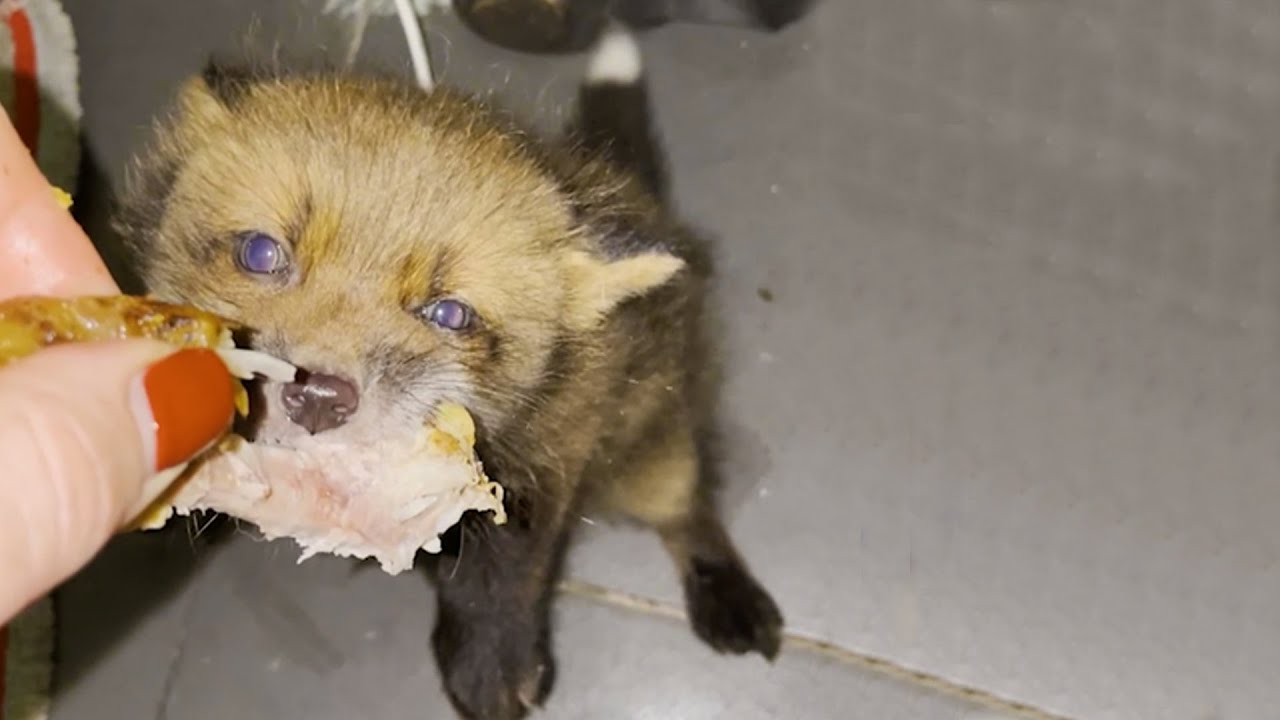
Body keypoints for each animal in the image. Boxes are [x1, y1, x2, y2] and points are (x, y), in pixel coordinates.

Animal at [116, 28, 783, 720]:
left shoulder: (543, 461)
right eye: (261, 253)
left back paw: (728, 595)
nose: (320, 395)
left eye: (449, 314)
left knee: (688, 510)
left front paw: (490, 669)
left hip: (653, 456)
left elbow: (498, 579)